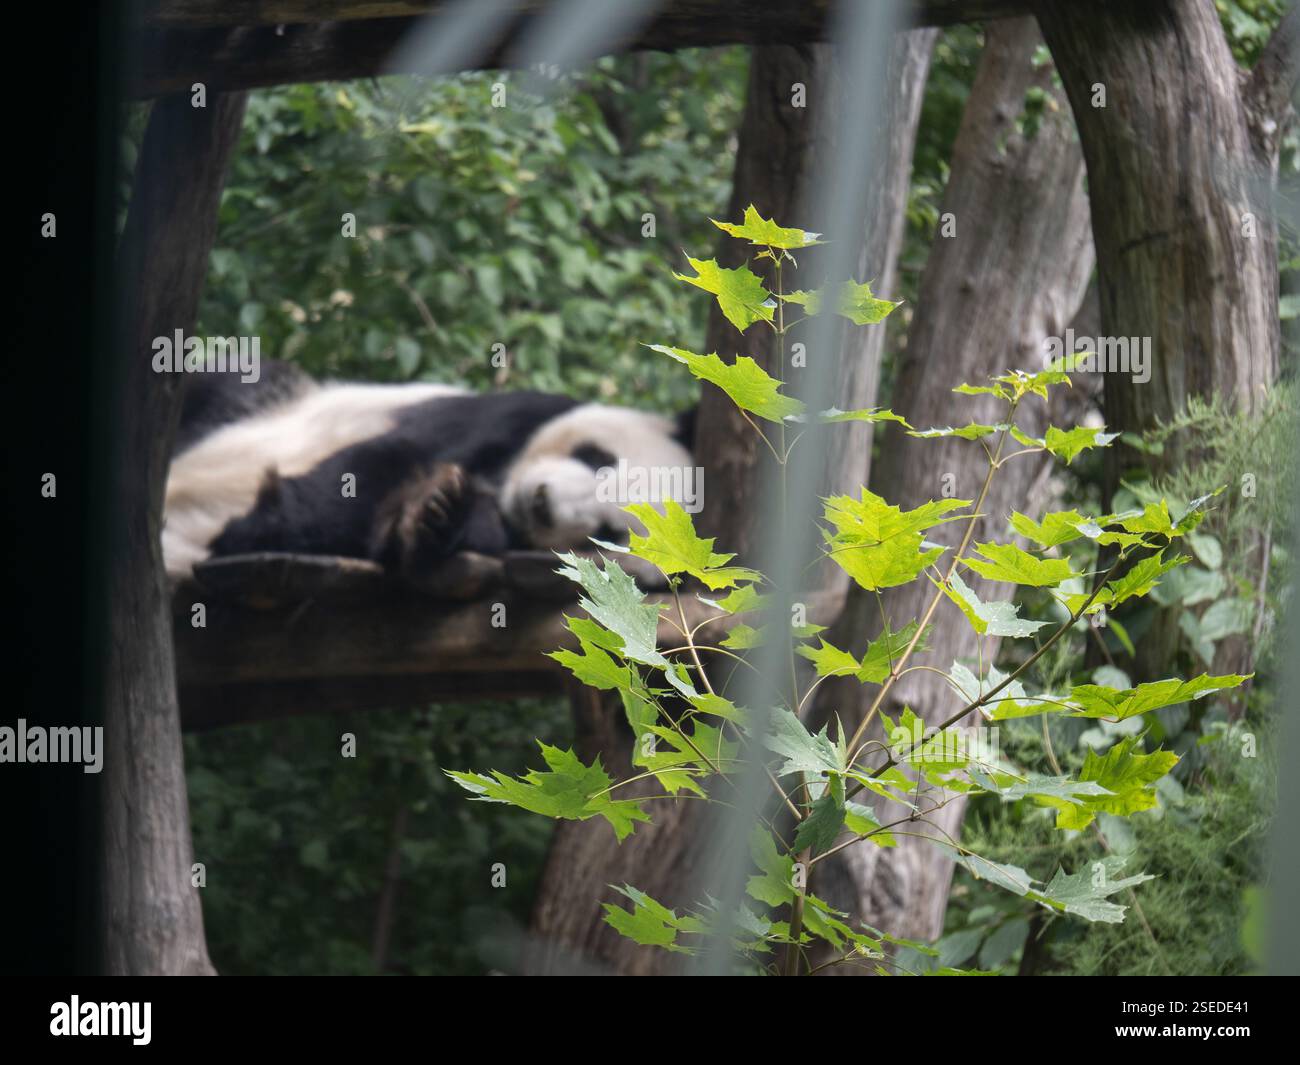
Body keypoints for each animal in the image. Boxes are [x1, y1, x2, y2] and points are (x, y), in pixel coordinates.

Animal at [162, 360, 696, 586]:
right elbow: (375, 465)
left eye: (610, 534)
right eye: (596, 458)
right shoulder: (499, 417)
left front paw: (437, 517)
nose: (542, 503)